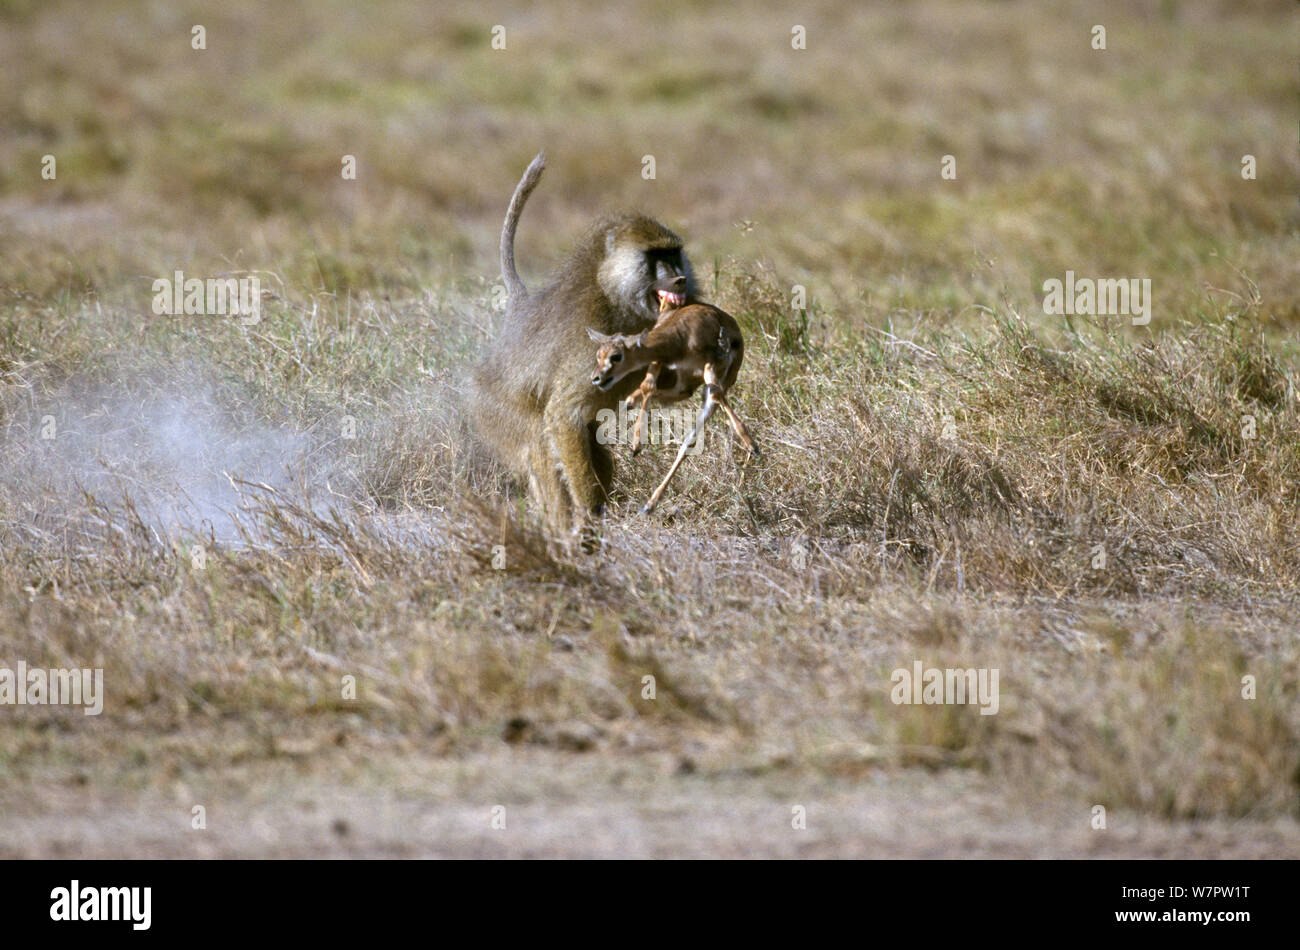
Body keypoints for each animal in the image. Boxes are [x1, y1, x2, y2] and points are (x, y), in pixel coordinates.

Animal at [468, 151, 696, 538]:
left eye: (674, 254)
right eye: (655, 257)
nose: (679, 279)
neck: (621, 300)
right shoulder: (593, 331)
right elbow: (564, 415)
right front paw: (587, 512)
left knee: (595, 451)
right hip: (494, 410)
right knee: (541, 445)